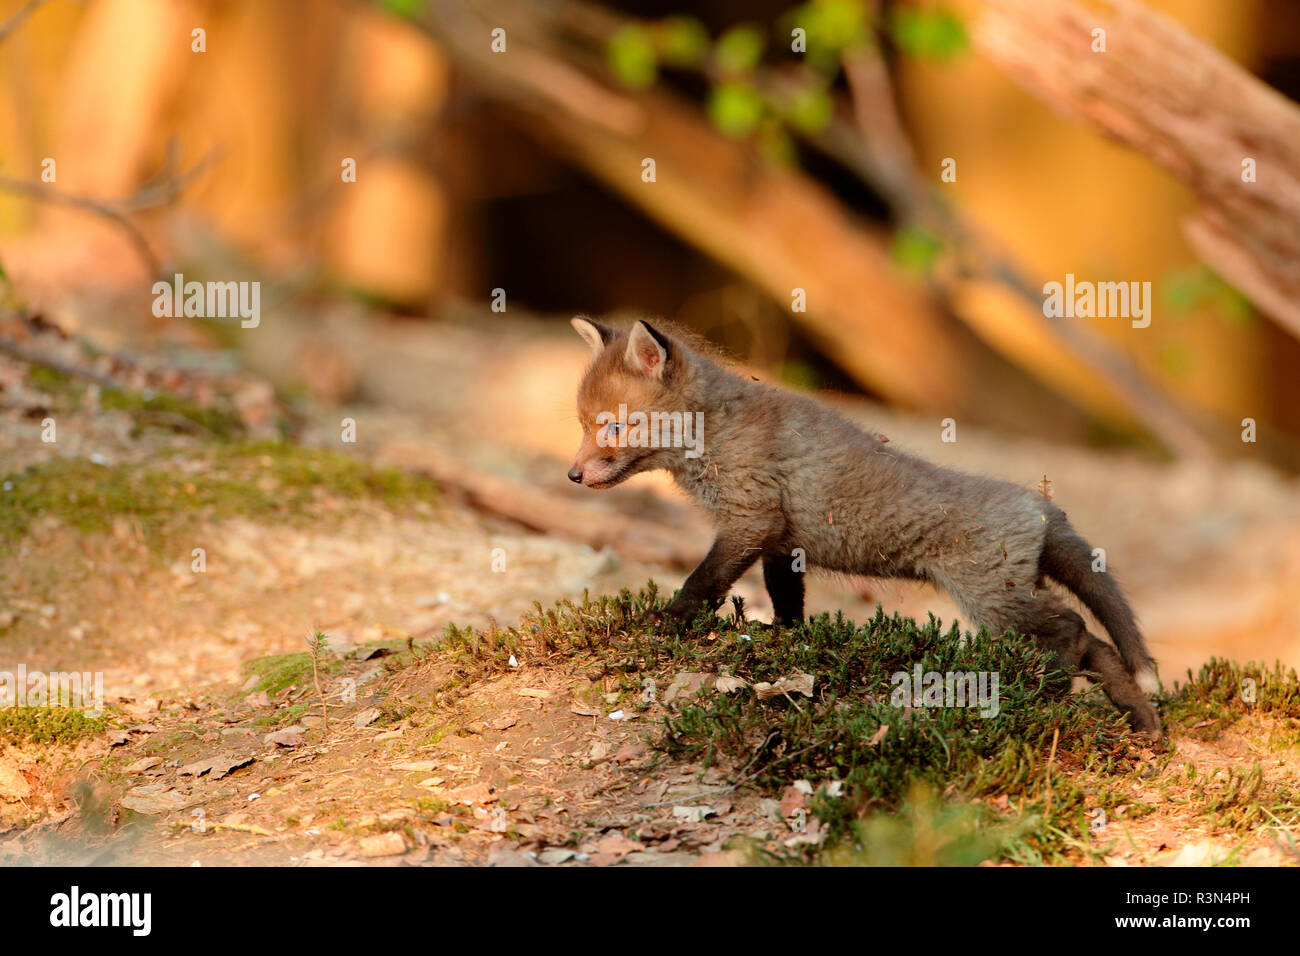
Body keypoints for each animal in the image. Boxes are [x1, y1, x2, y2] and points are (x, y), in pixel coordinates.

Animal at [566, 317, 1162, 739]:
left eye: (612, 427)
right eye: (582, 426)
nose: (573, 475)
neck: (717, 432)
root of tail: (1039, 504)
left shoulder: (749, 519)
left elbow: (702, 582)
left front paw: (666, 622)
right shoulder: (781, 542)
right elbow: (786, 601)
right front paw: (788, 640)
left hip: (995, 603)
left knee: (1074, 630)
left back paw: (1049, 691)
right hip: (1013, 598)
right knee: (1101, 648)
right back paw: (1143, 722)